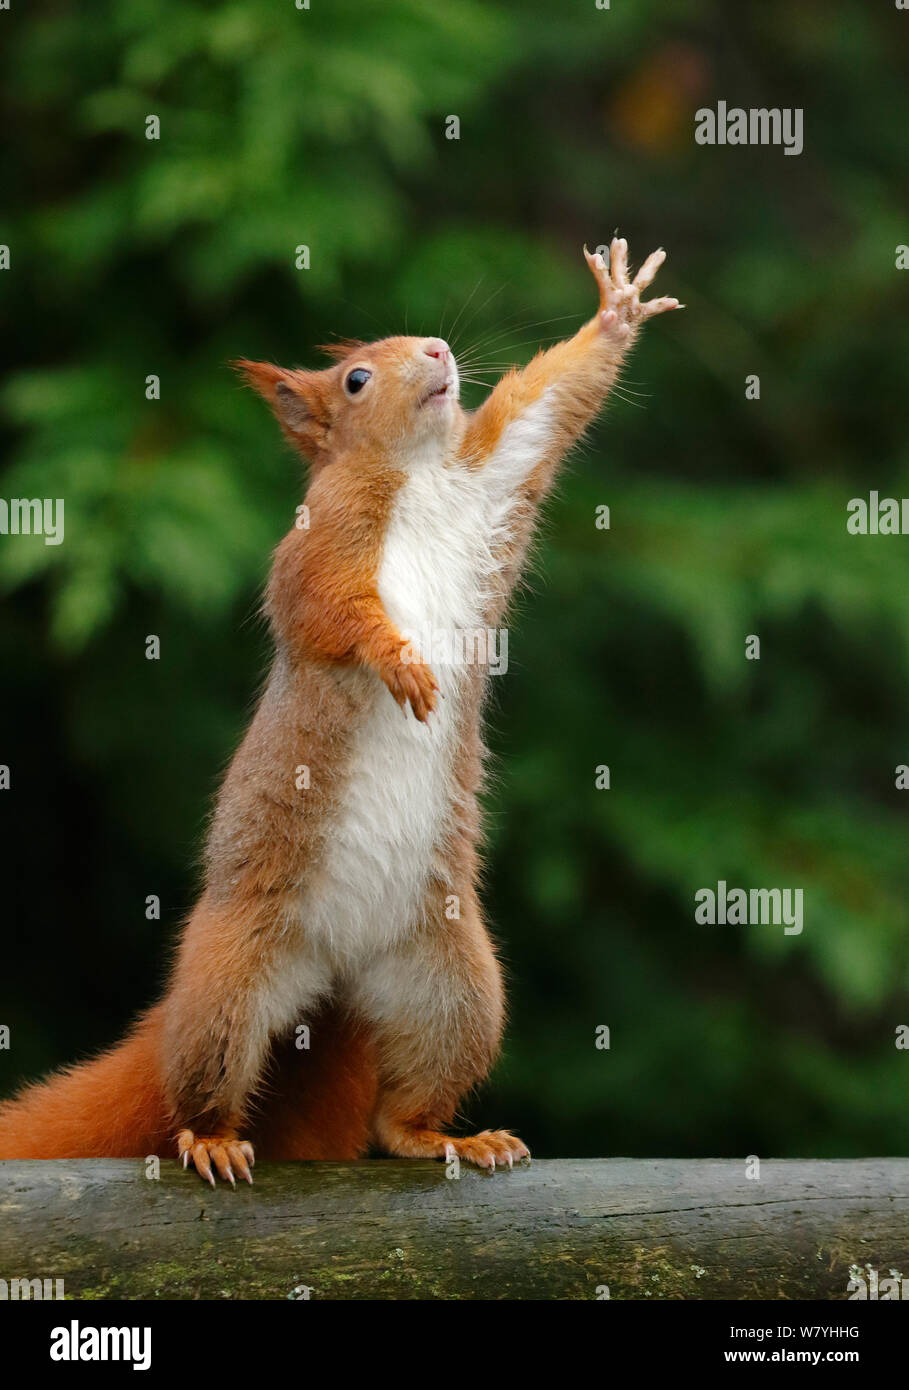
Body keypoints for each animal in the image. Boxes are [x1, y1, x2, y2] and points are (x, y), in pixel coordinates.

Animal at [0, 240, 679, 1183]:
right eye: (356, 379)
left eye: (419, 343)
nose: (436, 349)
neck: (417, 474)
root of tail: (340, 977)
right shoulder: (317, 548)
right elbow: (330, 612)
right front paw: (398, 662)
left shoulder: (495, 478)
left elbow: (547, 408)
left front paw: (615, 310)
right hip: (232, 977)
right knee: (199, 1078)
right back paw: (210, 1140)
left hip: (453, 983)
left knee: (402, 1108)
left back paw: (443, 1134)